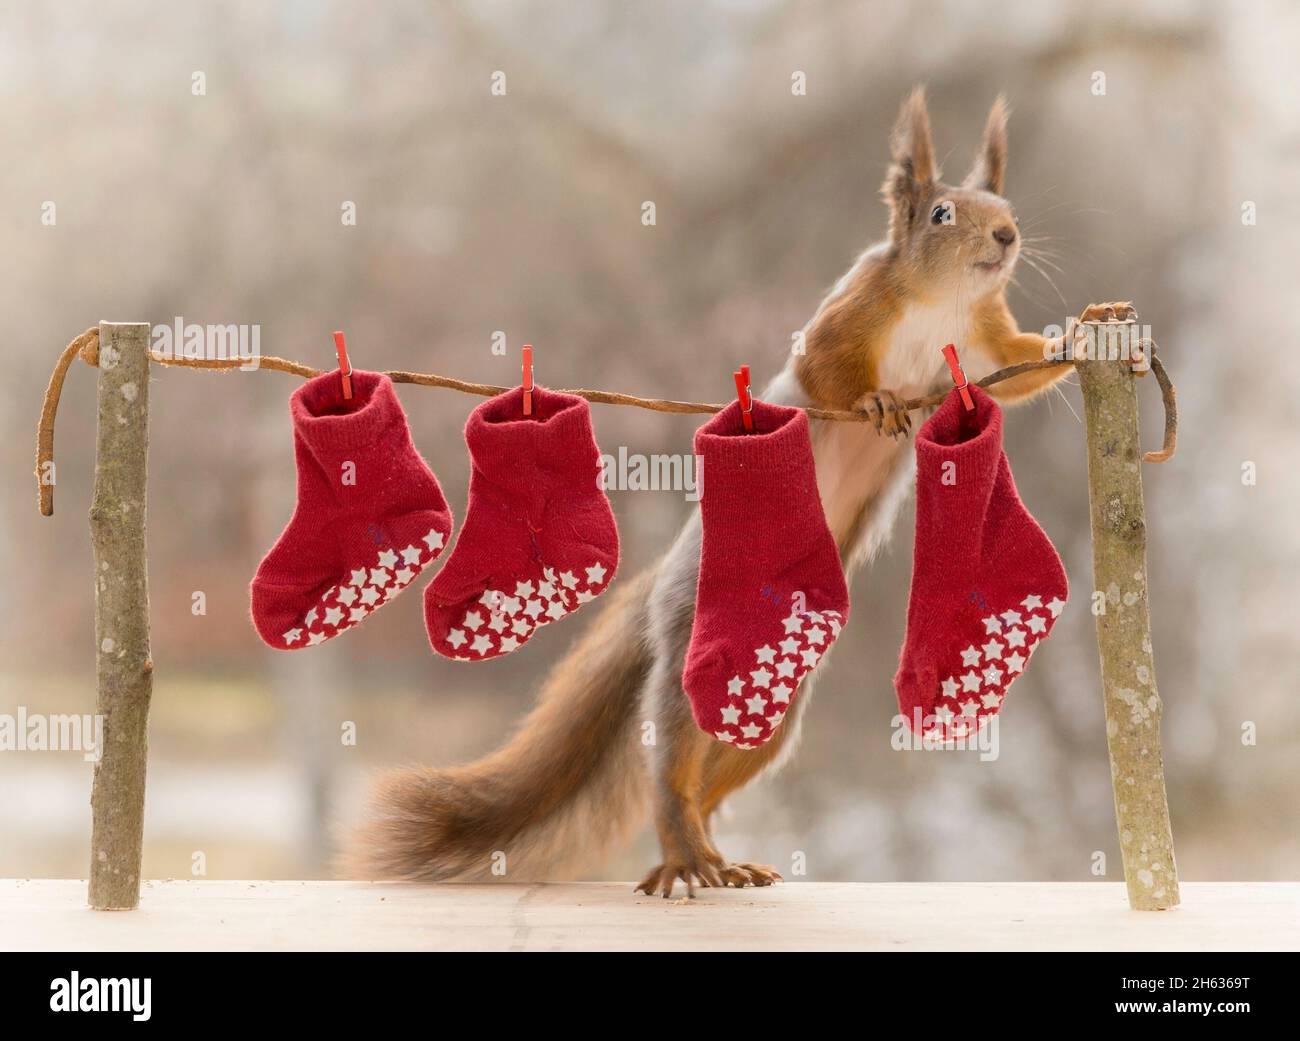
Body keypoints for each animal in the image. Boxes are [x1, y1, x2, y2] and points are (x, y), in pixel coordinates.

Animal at [342, 88, 1136, 896]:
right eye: (942, 212)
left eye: (1005, 203)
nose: (1007, 236)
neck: (942, 300)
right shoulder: (847, 316)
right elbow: (823, 375)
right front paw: (879, 401)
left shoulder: (984, 340)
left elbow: (1018, 371)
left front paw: (1083, 337)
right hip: (692, 637)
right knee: (669, 763)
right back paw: (685, 852)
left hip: (773, 708)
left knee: (713, 778)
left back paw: (716, 854)